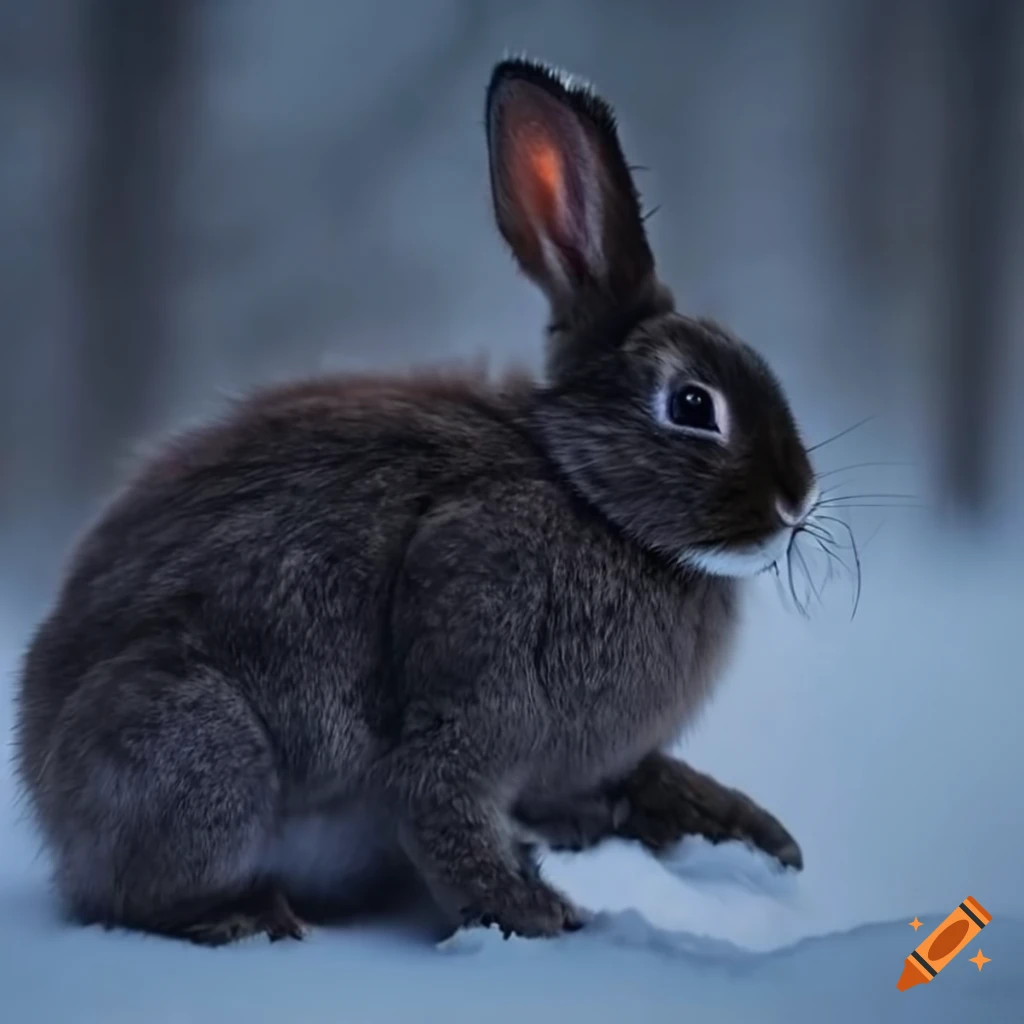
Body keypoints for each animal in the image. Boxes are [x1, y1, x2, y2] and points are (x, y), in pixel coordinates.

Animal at [14, 56, 814, 947]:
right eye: (693, 406)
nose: (795, 501)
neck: (587, 495)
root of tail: (47, 799)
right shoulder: (476, 646)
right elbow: (438, 799)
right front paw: (542, 916)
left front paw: (742, 829)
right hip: (203, 747)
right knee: (139, 894)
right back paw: (245, 915)